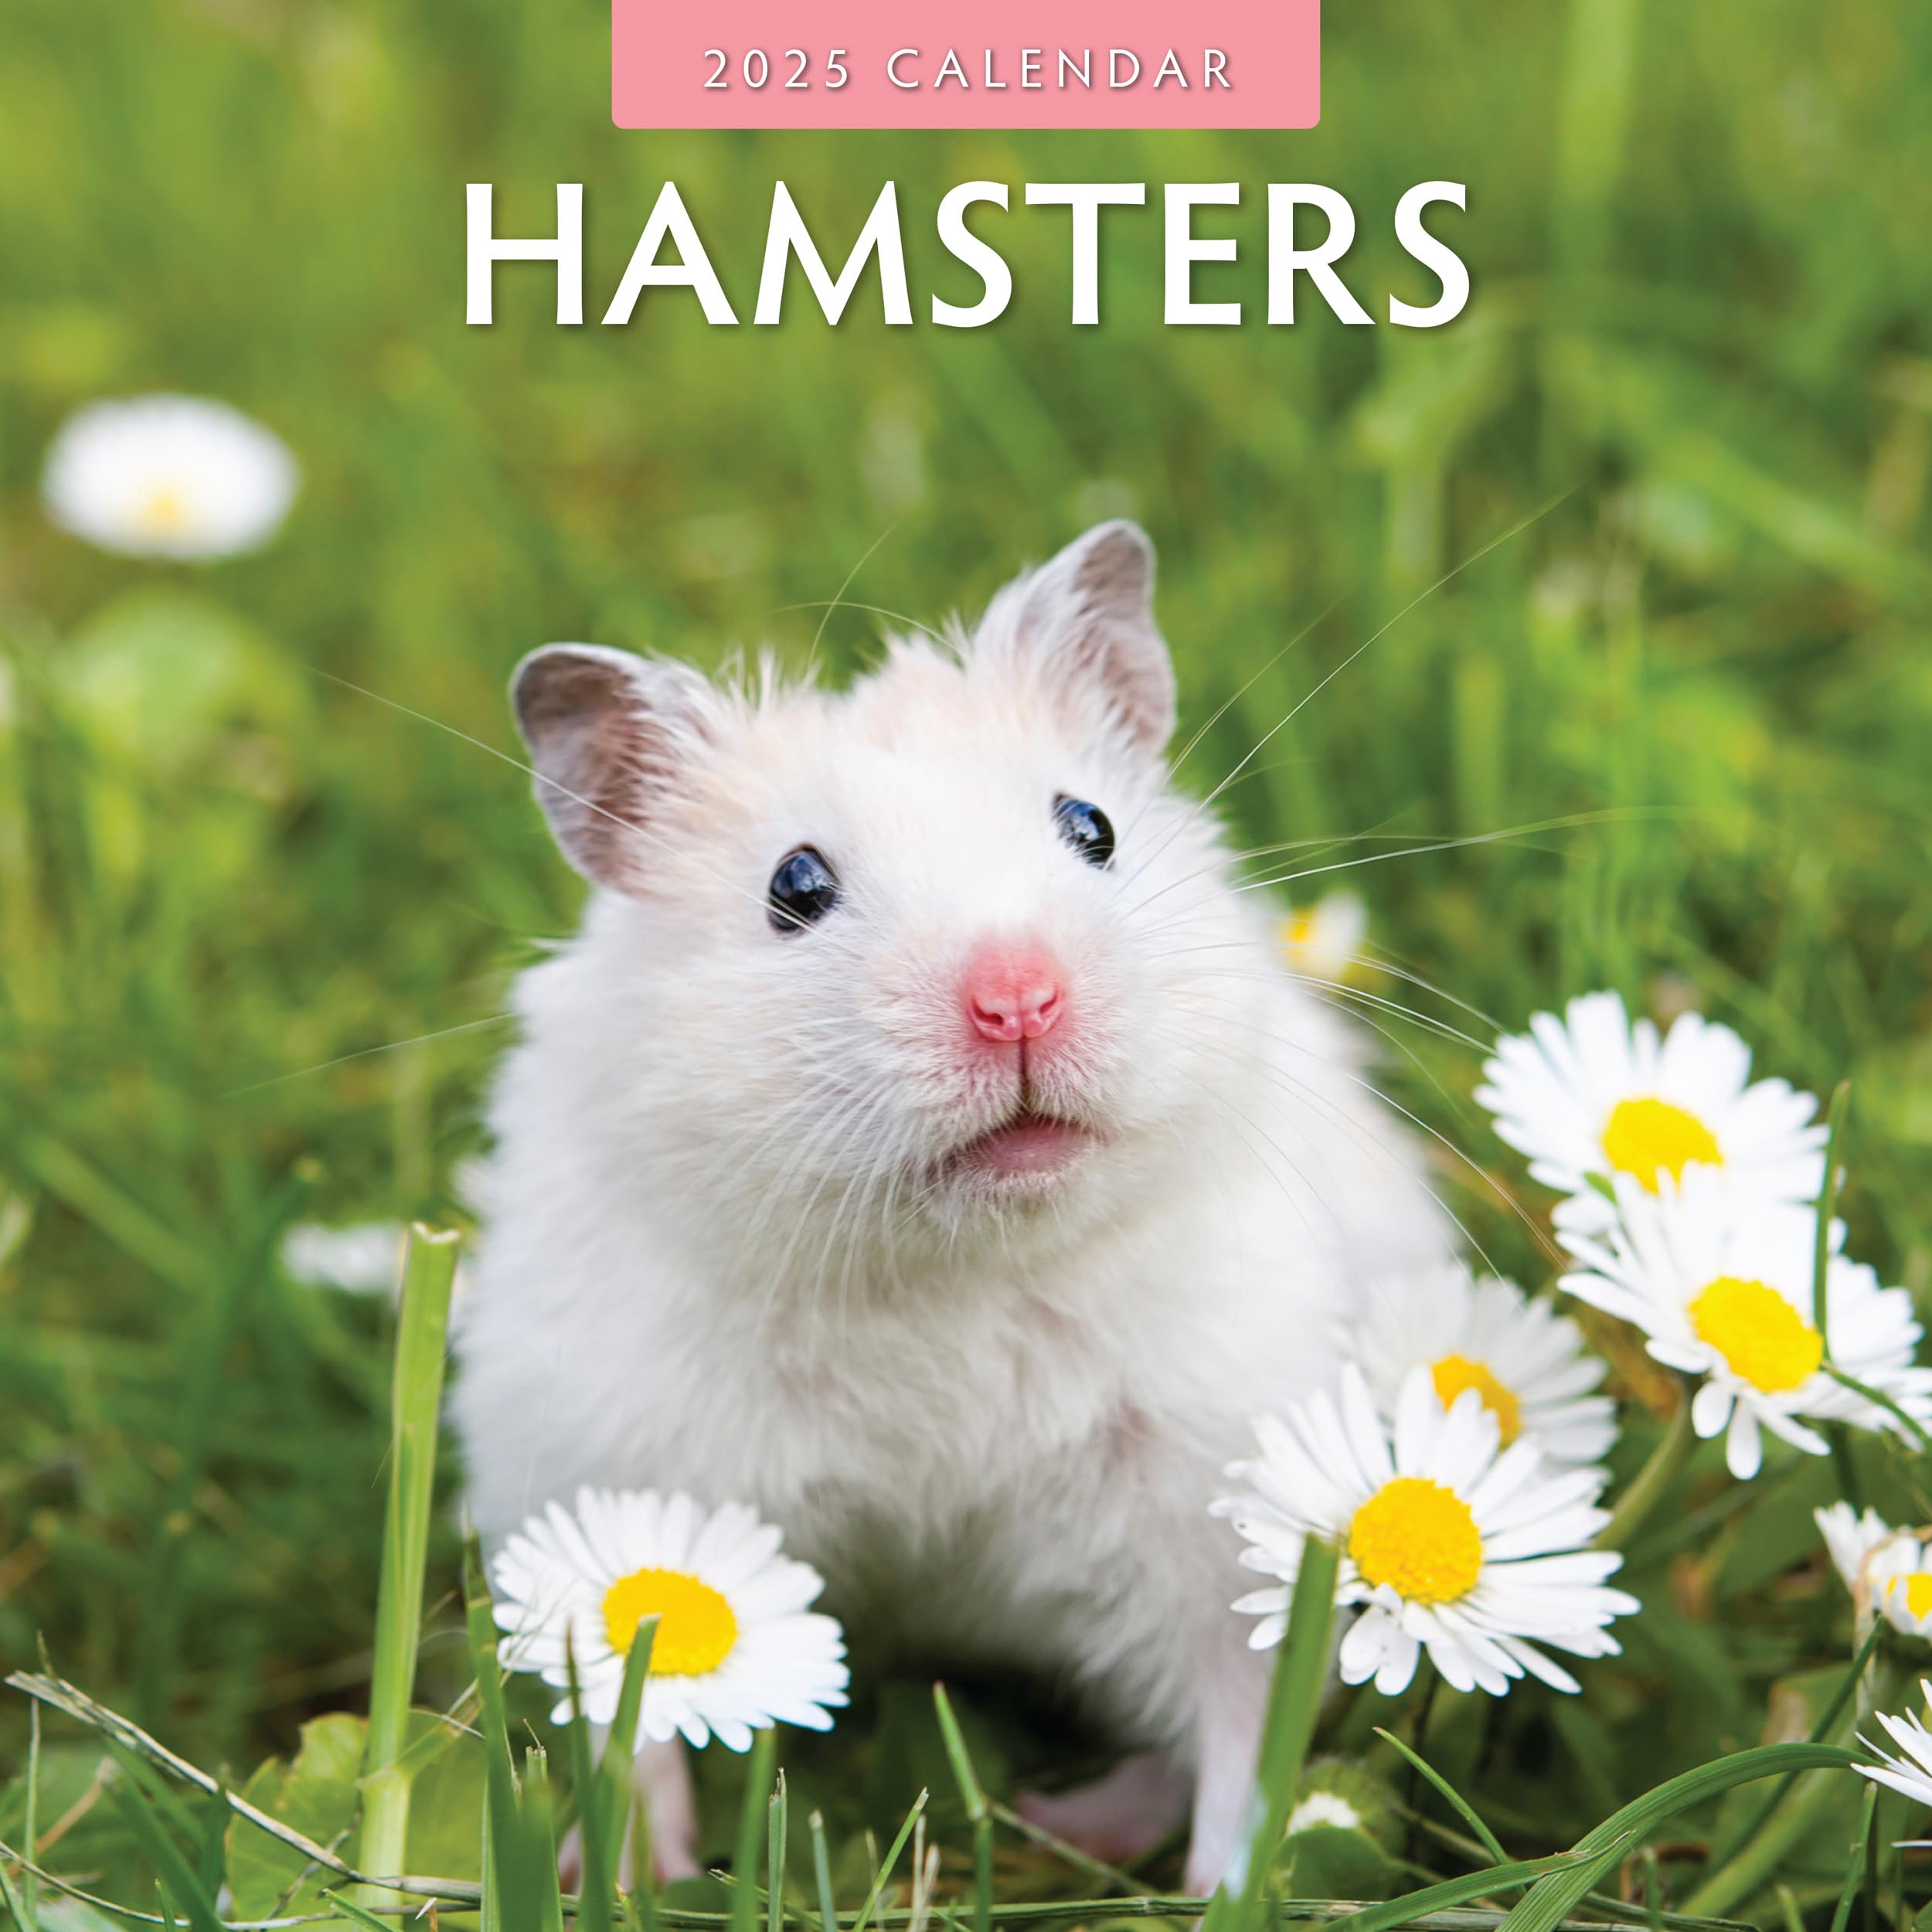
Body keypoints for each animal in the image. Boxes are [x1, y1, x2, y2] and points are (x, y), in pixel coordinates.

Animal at [450, 522, 1452, 1890]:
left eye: (1092, 826)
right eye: (795, 883)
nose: (1019, 998)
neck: (950, 1267)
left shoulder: (1216, 1507)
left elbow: (1248, 1721)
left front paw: (1225, 1890)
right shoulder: (610, 1472)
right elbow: (629, 1705)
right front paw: (630, 1875)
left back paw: (1065, 1821)